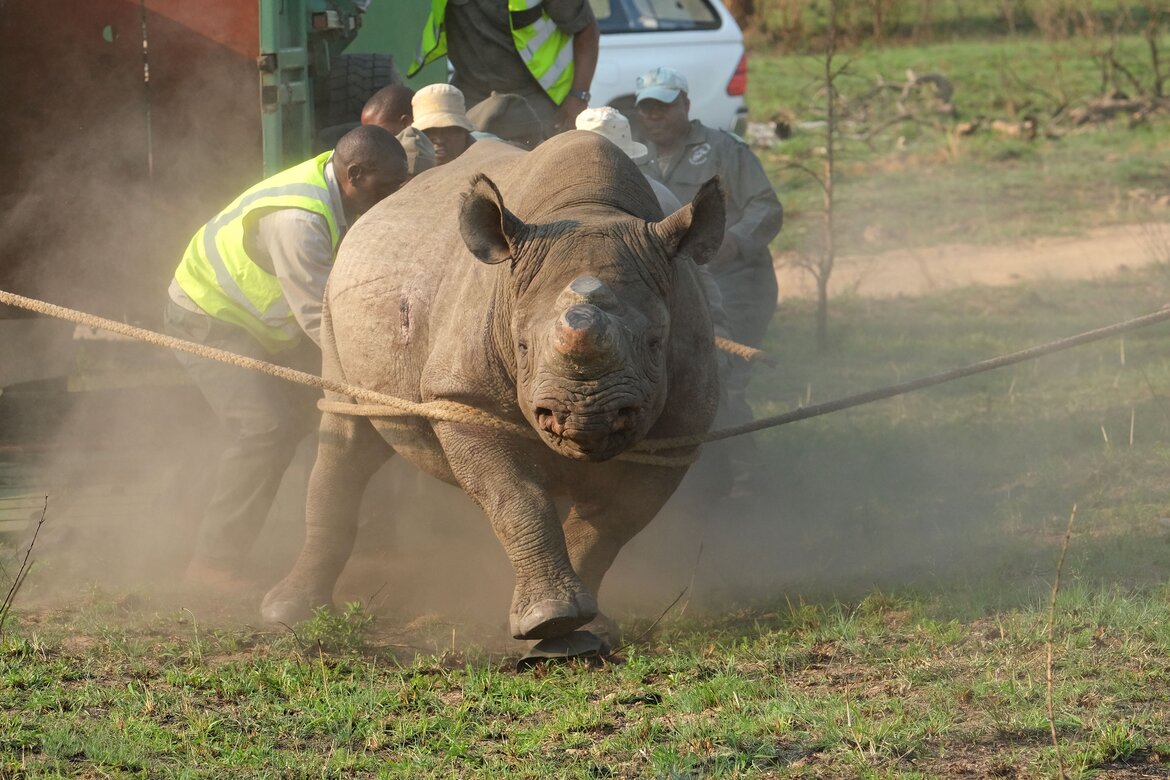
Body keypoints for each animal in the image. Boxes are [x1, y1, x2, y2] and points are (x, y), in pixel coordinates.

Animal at [261, 131, 726, 649]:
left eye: (655, 343)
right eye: (521, 345)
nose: (584, 416)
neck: (590, 210)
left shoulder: (681, 431)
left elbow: (611, 522)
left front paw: (577, 629)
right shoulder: (463, 399)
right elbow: (515, 497)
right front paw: (549, 621)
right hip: (334, 298)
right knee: (347, 427)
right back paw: (288, 615)